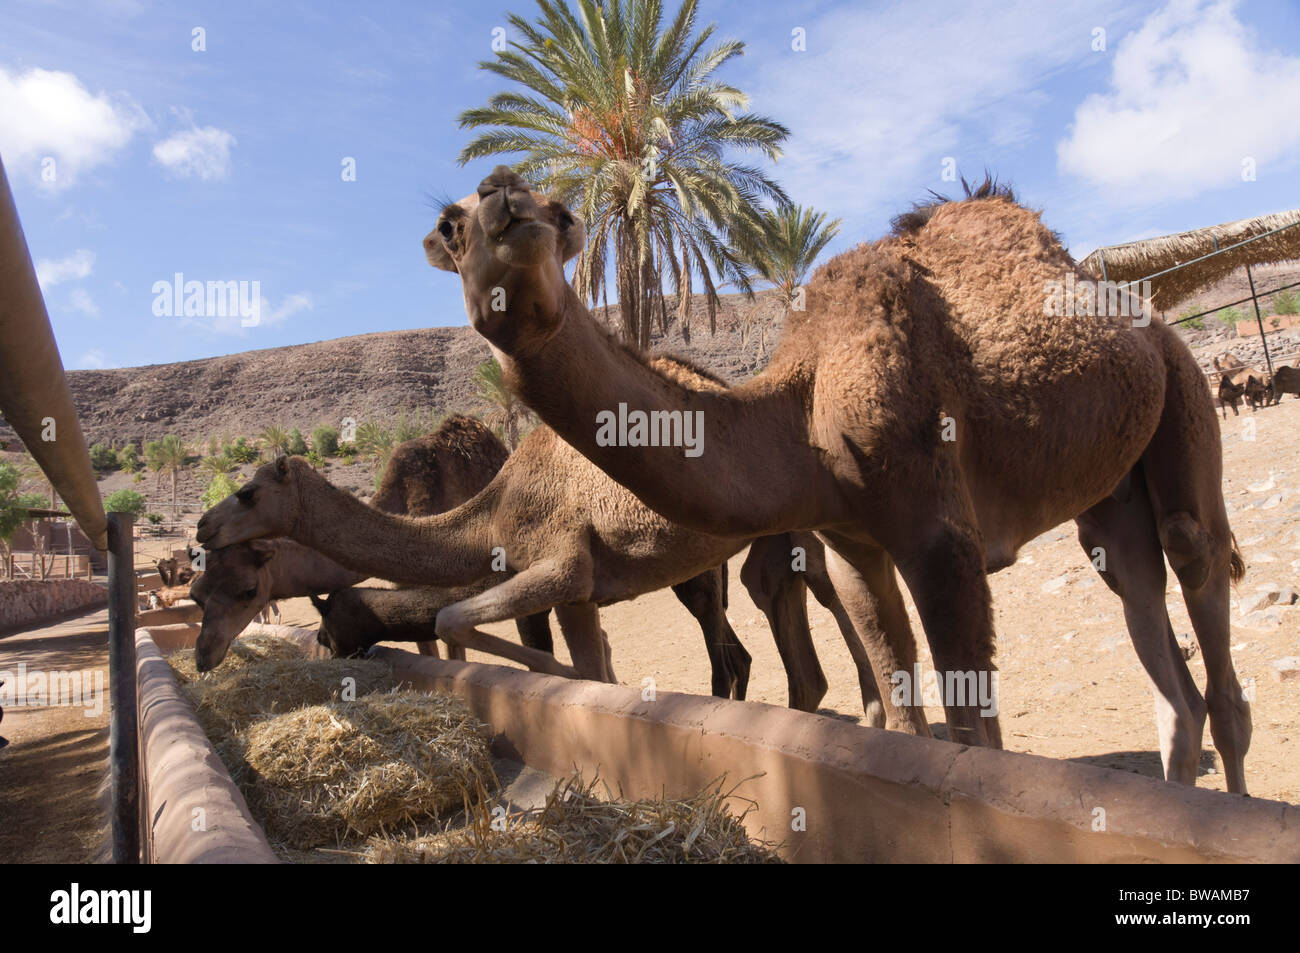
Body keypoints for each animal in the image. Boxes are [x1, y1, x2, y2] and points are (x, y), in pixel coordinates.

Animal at [196, 381, 882, 718]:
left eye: (248, 493)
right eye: (198, 592)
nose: (202, 528)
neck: (486, 517)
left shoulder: (558, 567)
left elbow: (454, 621)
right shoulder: (579, 593)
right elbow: (582, 662)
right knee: (783, 595)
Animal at [418, 165, 1252, 794]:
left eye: (561, 214)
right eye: (452, 225)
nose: (505, 204)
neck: (806, 406)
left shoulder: (941, 539)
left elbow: (977, 738)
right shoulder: (851, 544)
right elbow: (904, 712)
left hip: (1182, 385)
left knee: (1203, 589)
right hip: (1111, 493)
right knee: (1160, 654)